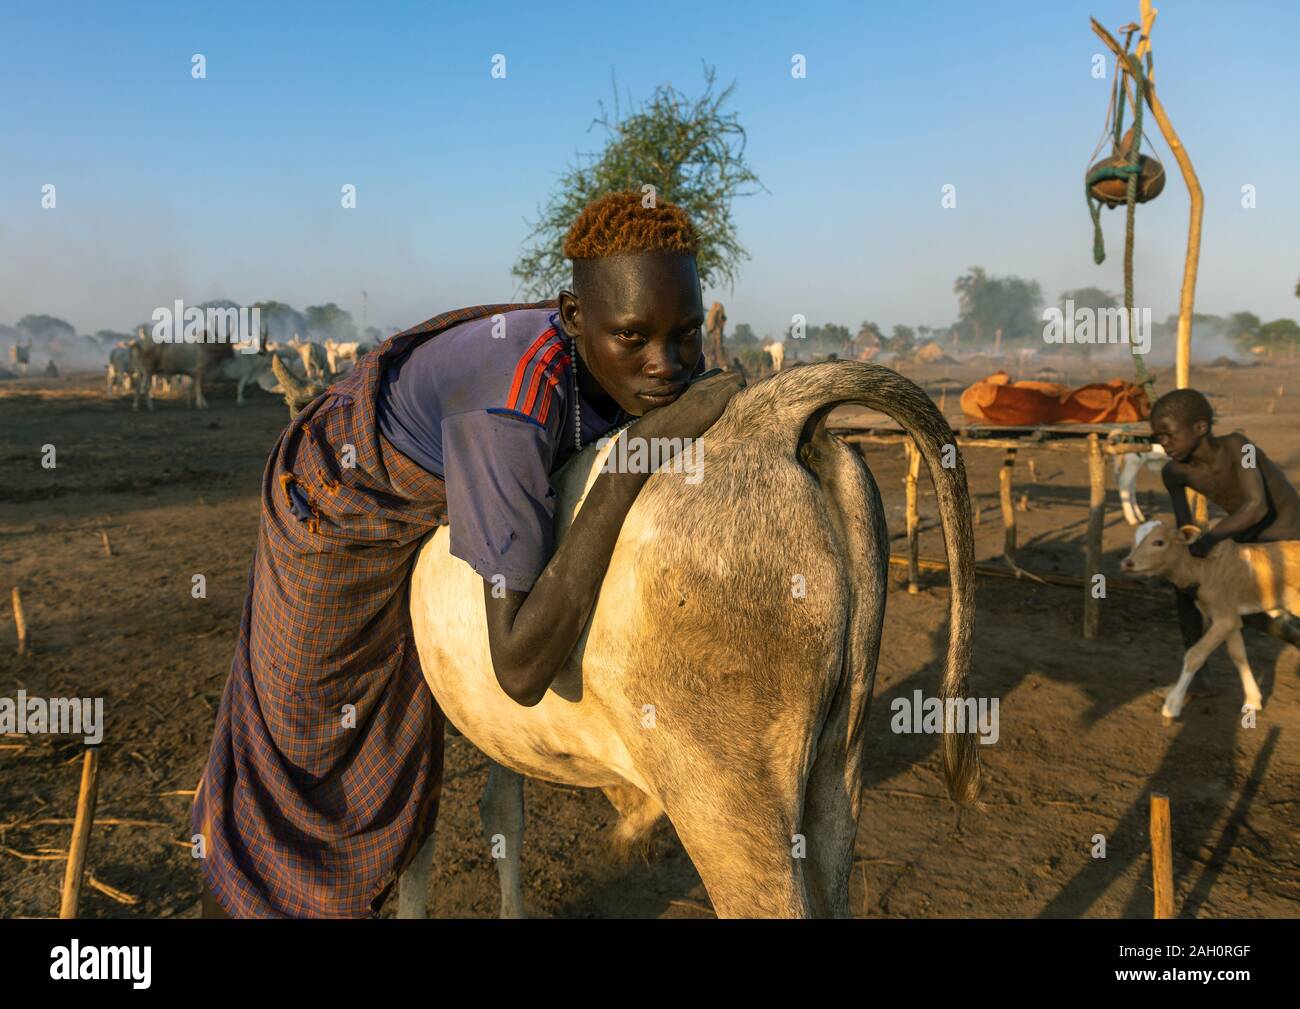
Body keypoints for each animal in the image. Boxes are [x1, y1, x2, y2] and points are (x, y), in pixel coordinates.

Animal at [1120, 519, 1300, 721]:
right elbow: (1238, 654)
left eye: (1158, 542)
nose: (1127, 563)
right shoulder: (1230, 618)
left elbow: (1195, 654)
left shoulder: (1225, 618)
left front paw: (1172, 705)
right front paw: (1253, 699)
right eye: (1133, 541)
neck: (1203, 567)